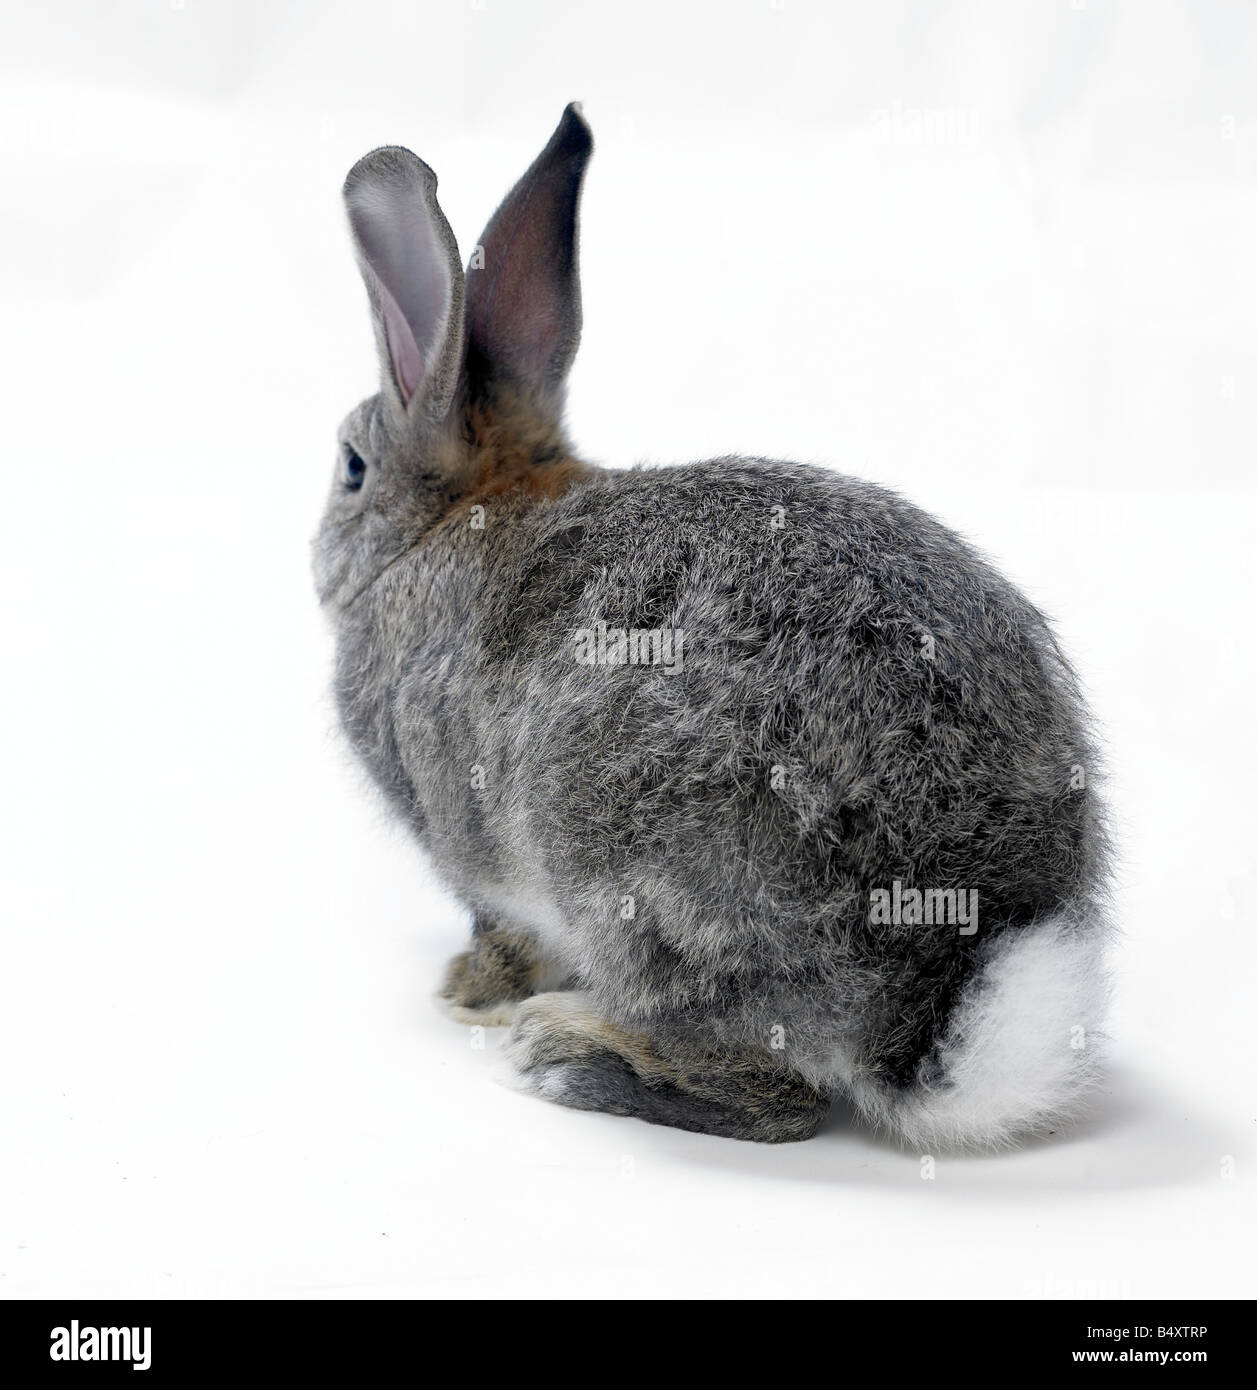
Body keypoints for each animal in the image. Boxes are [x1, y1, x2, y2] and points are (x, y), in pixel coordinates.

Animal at [313, 103, 1111, 1150]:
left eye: (351, 467)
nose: (314, 553)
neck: (453, 524)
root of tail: (937, 998)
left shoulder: (471, 851)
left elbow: (501, 934)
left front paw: (465, 994)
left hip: (635, 874)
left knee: (775, 1097)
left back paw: (565, 1055)